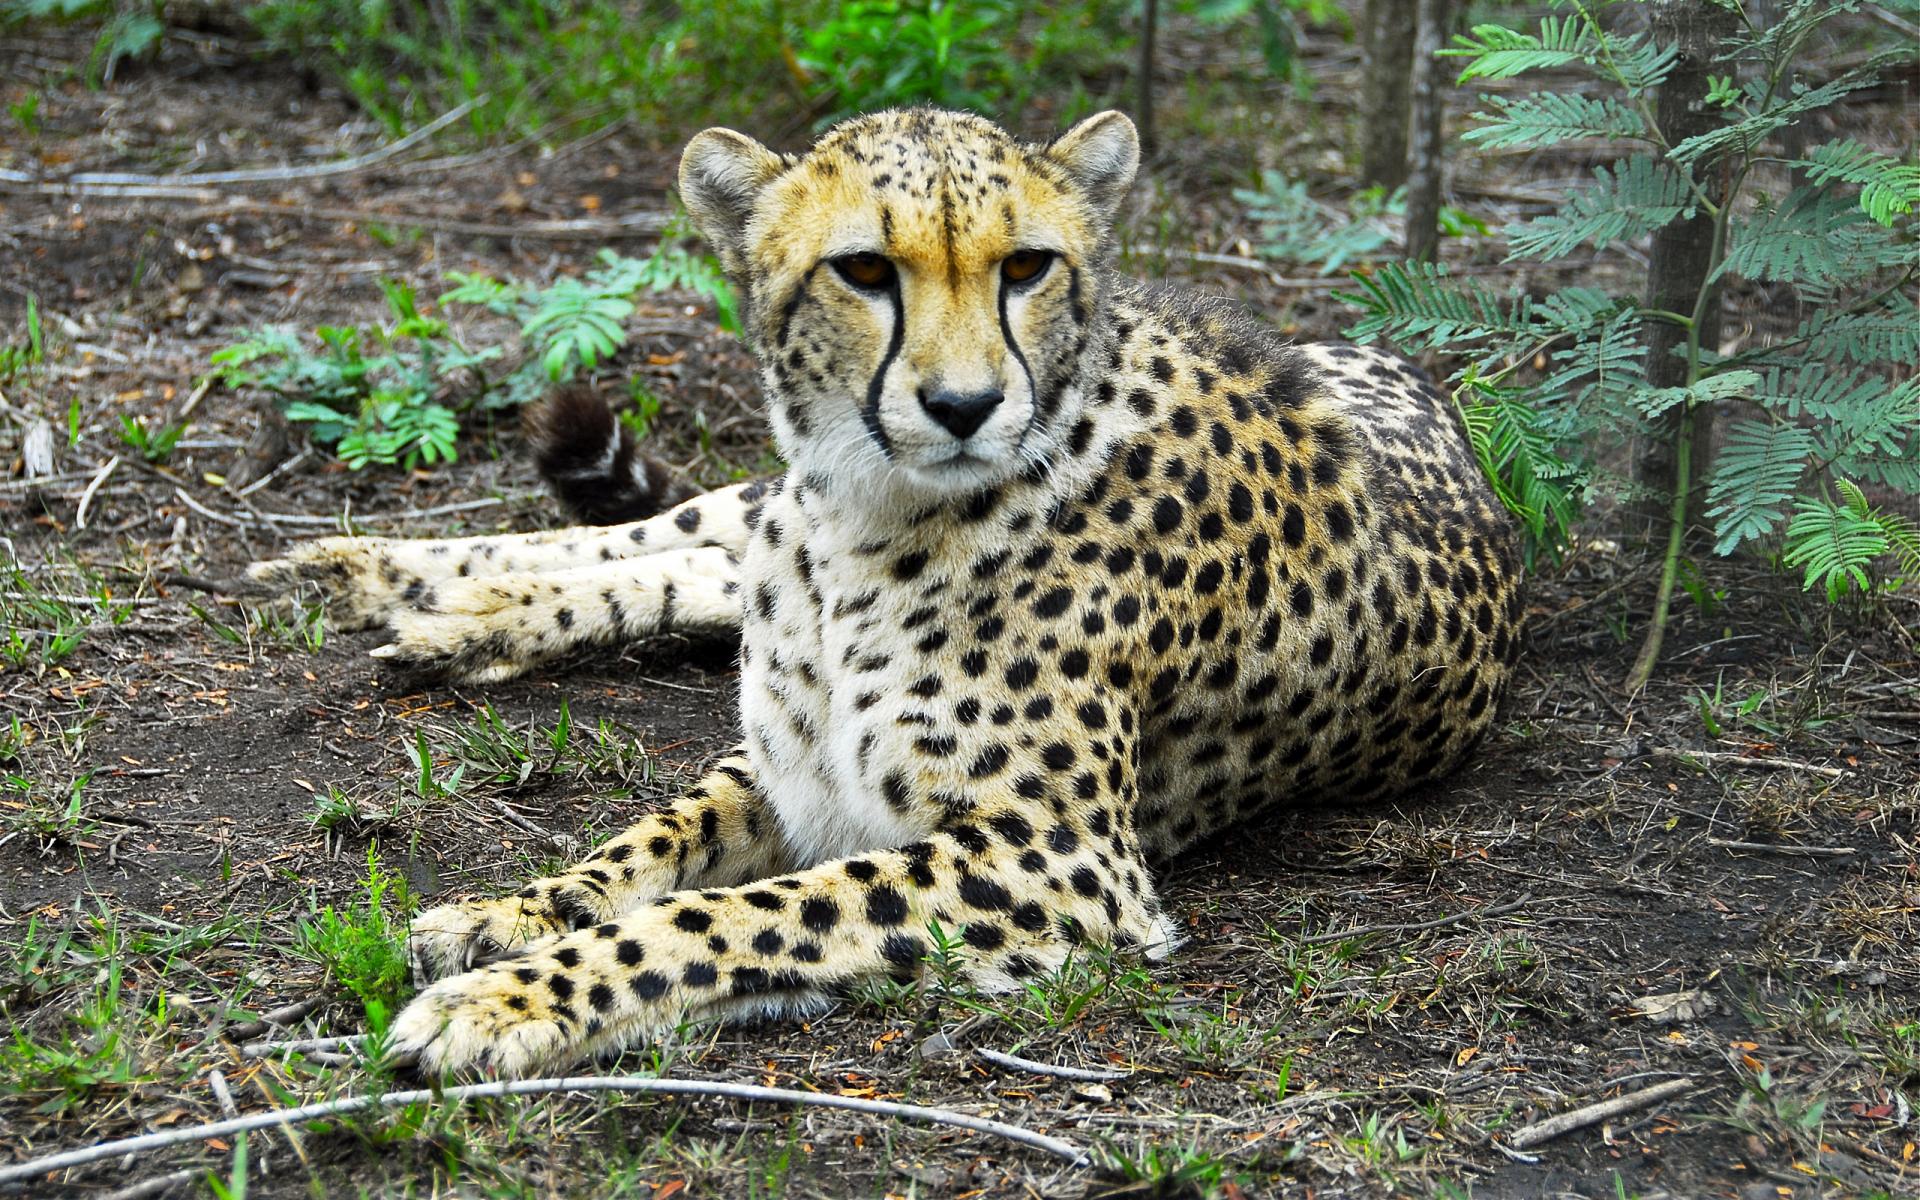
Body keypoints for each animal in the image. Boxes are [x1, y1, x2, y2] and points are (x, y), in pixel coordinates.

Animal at [250, 107, 1524, 1077]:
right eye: (864, 269)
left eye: (1027, 265)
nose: (964, 407)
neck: (858, 524)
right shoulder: (791, 765)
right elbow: (642, 846)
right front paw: (507, 915)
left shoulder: (1056, 861)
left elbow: (725, 915)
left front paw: (509, 997)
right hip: (743, 515)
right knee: (662, 541)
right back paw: (368, 577)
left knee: (670, 575)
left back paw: (440, 622)